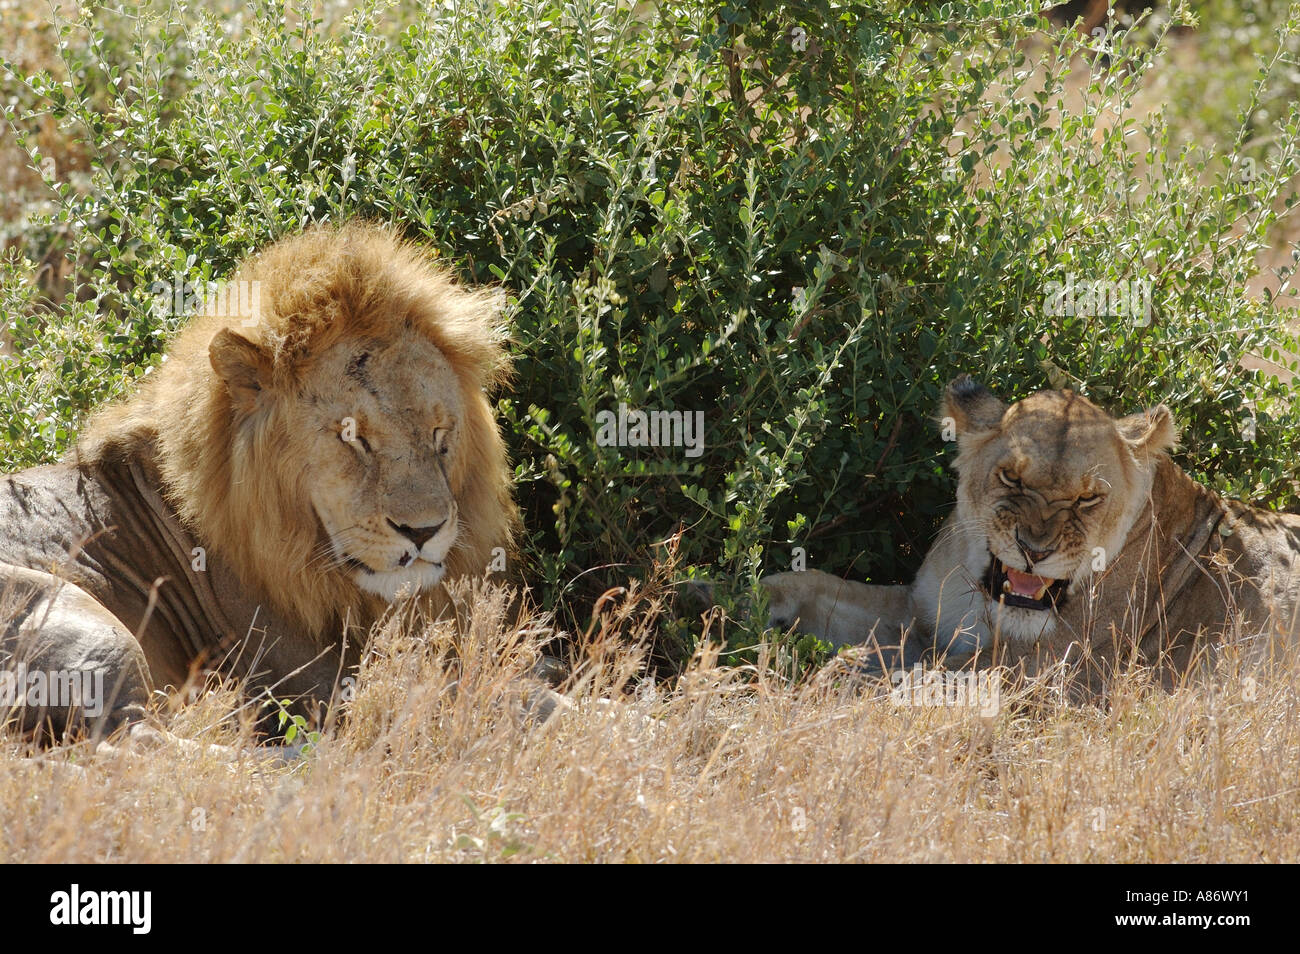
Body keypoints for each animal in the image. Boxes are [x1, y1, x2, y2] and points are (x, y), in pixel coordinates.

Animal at [758, 376, 1300, 682]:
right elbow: (821, 587)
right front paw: (743, 603)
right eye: (1012, 478)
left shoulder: (1056, 667)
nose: (1034, 551)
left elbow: (922, 673)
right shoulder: (919, 611)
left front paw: (840, 674)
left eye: (1087, 498)